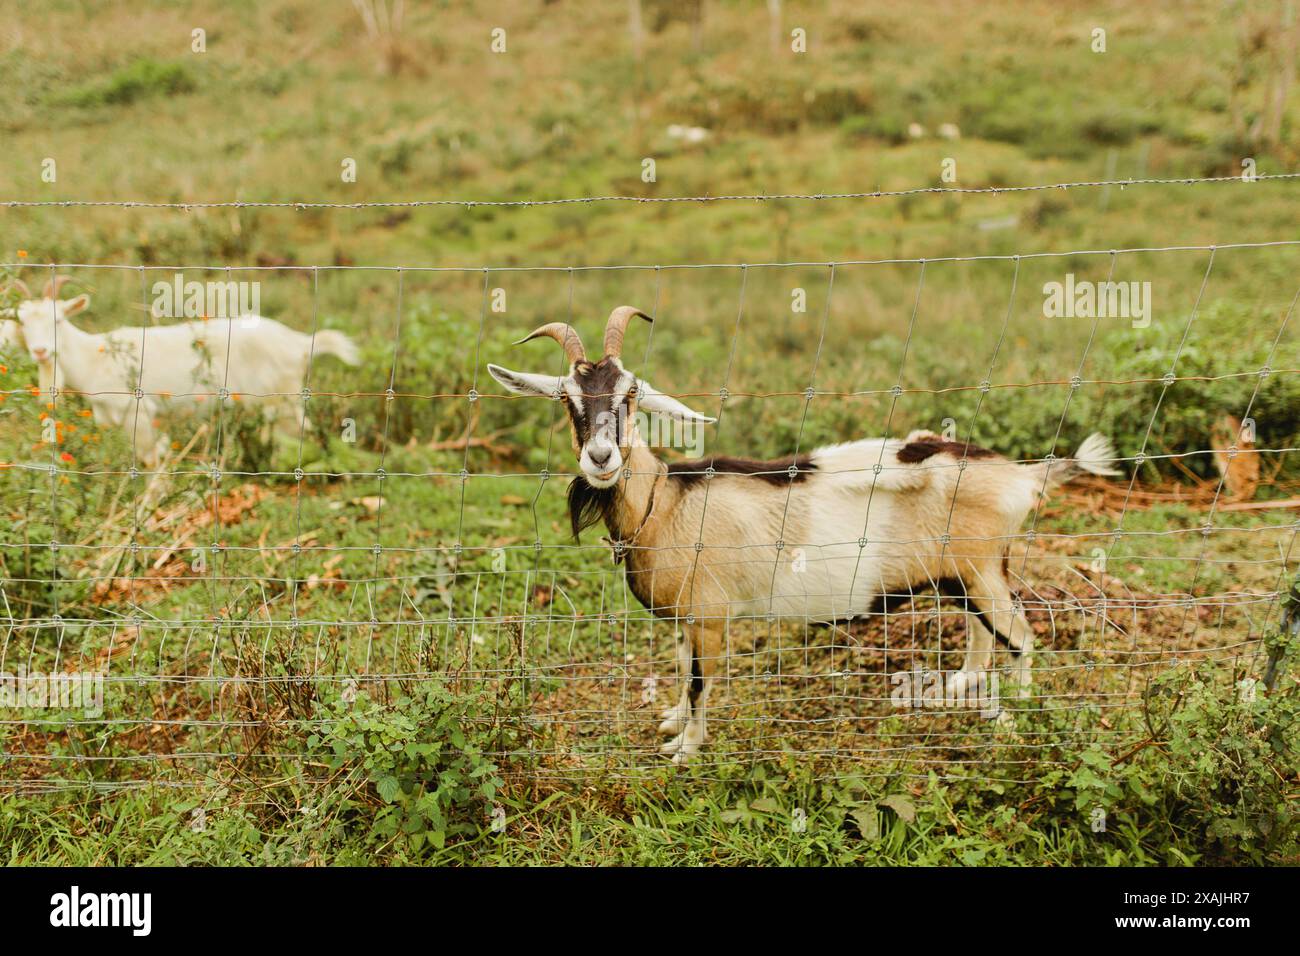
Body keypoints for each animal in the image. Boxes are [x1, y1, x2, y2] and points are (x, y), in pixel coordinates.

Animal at [11, 276, 360, 467]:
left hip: (280, 397)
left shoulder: (137, 412)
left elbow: (150, 459)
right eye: (22, 322)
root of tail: (300, 343)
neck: (92, 356)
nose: (40, 351)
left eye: (58, 319)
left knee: (296, 432)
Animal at [488, 306, 1122, 763]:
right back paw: (960, 688)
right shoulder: (689, 618)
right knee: (985, 633)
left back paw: (1012, 719)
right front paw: (671, 722)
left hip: (981, 568)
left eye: (631, 393)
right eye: (567, 397)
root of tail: (1025, 475)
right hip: (962, 576)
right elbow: (681, 668)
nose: (601, 458)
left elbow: (698, 682)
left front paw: (684, 749)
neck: (665, 503)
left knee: (1021, 637)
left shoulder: (711, 615)